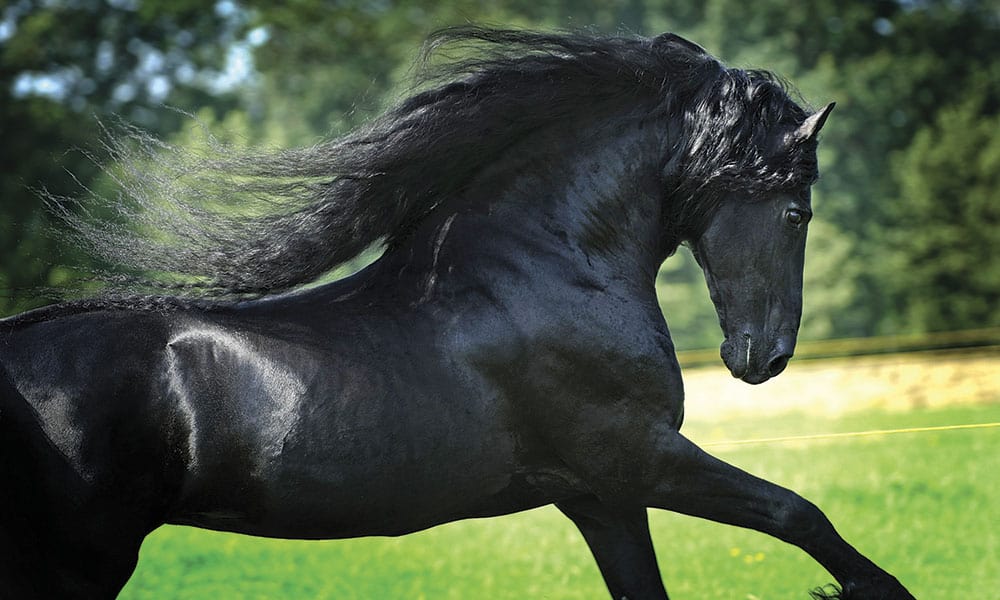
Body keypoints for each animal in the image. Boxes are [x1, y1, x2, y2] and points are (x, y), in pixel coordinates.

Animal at [0, 27, 914, 599]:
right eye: (798, 212)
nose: (765, 357)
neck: (547, 270)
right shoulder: (640, 457)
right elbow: (798, 511)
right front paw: (871, 589)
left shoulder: (602, 496)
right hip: (81, 561)